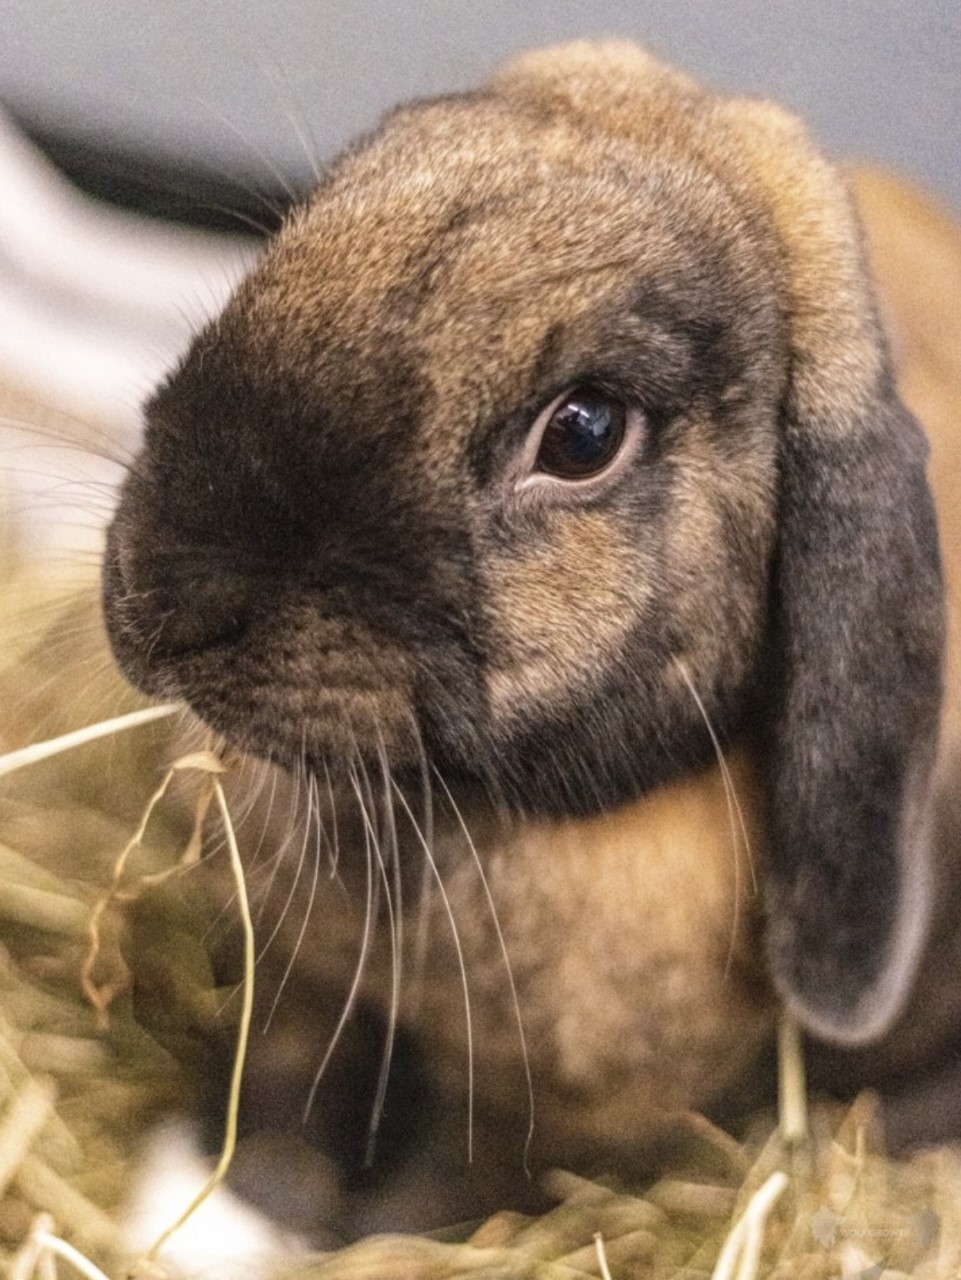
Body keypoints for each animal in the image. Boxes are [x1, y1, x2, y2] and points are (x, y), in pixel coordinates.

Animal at [101, 41, 958, 1241]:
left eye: (584, 431)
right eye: (298, 234)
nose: (167, 590)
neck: (452, 810)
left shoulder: (555, 1115)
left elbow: (454, 1187)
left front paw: (361, 1240)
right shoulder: (300, 979)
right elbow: (281, 1080)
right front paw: (236, 1203)